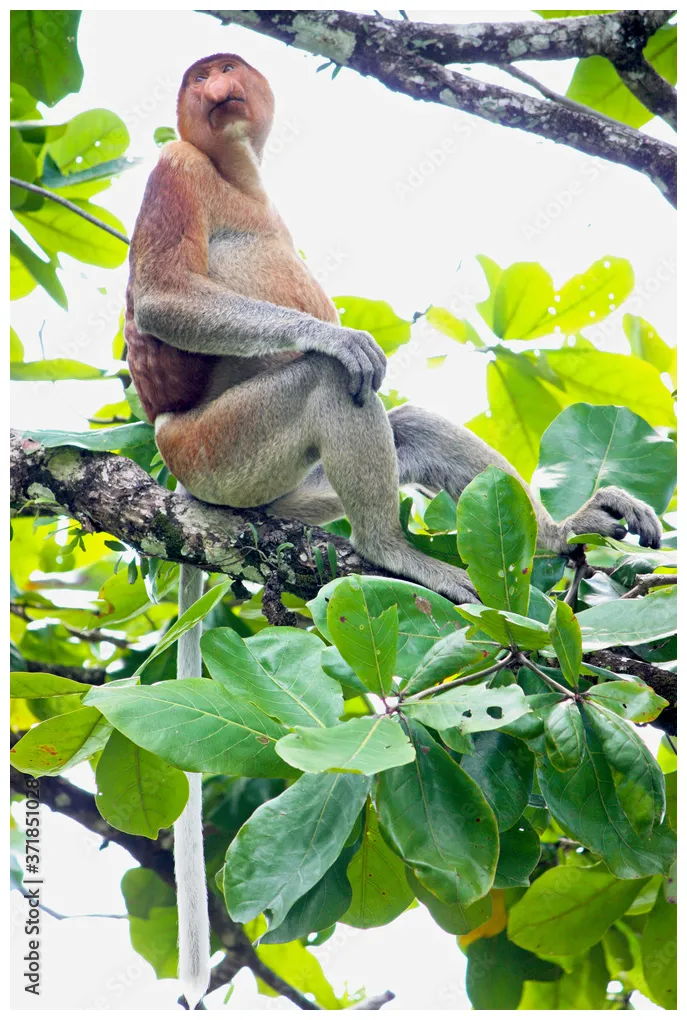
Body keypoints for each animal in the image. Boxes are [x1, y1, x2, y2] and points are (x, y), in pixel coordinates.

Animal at [124, 53, 663, 1007]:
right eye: (203, 77)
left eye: (227, 72)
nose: (219, 88)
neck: (234, 171)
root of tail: (178, 471)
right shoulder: (176, 169)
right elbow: (163, 298)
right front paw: (341, 336)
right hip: (221, 452)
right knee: (326, 380)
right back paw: (391, 544)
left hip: (287, 491)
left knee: (401, 425)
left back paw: (561, 529)